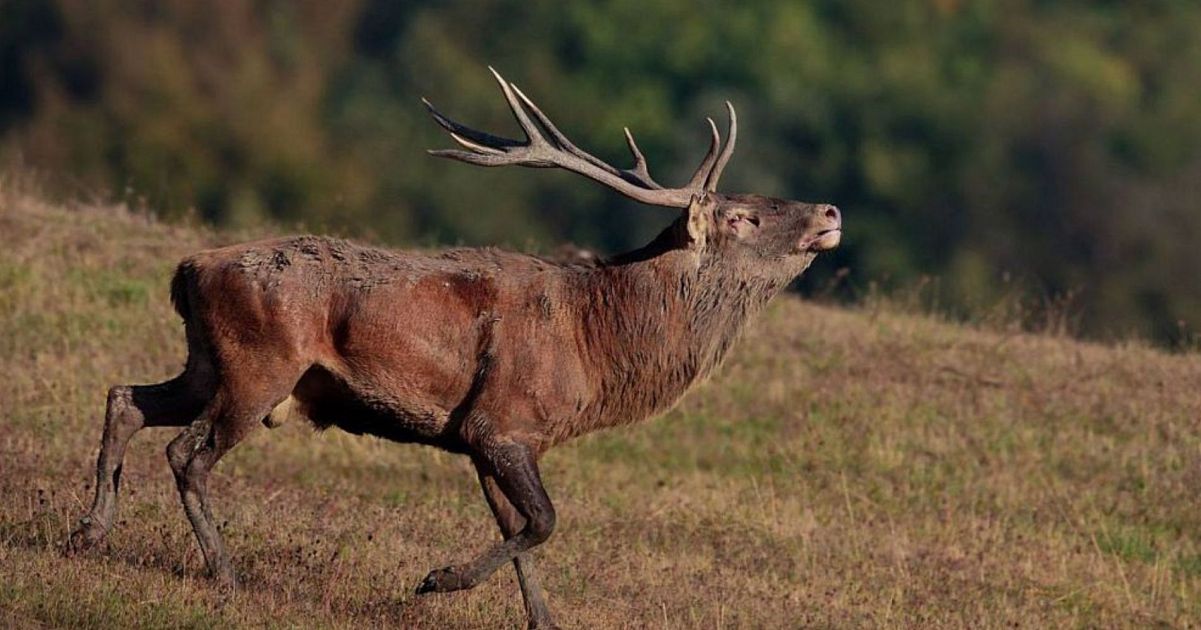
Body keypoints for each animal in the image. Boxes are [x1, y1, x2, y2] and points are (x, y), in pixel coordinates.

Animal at [67, 68, 842, 628]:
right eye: (742, 217)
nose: (830, 211)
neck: (597, 345)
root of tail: (189, 268)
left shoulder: (486, 438)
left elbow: (522, 528)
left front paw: (542, 622)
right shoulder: (500, 423)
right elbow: (546, 521)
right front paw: (437, 580)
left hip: (209, 362)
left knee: (126, 397)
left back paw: (90, 532)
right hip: (259, 367)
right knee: (187, 453)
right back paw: (224, 573)